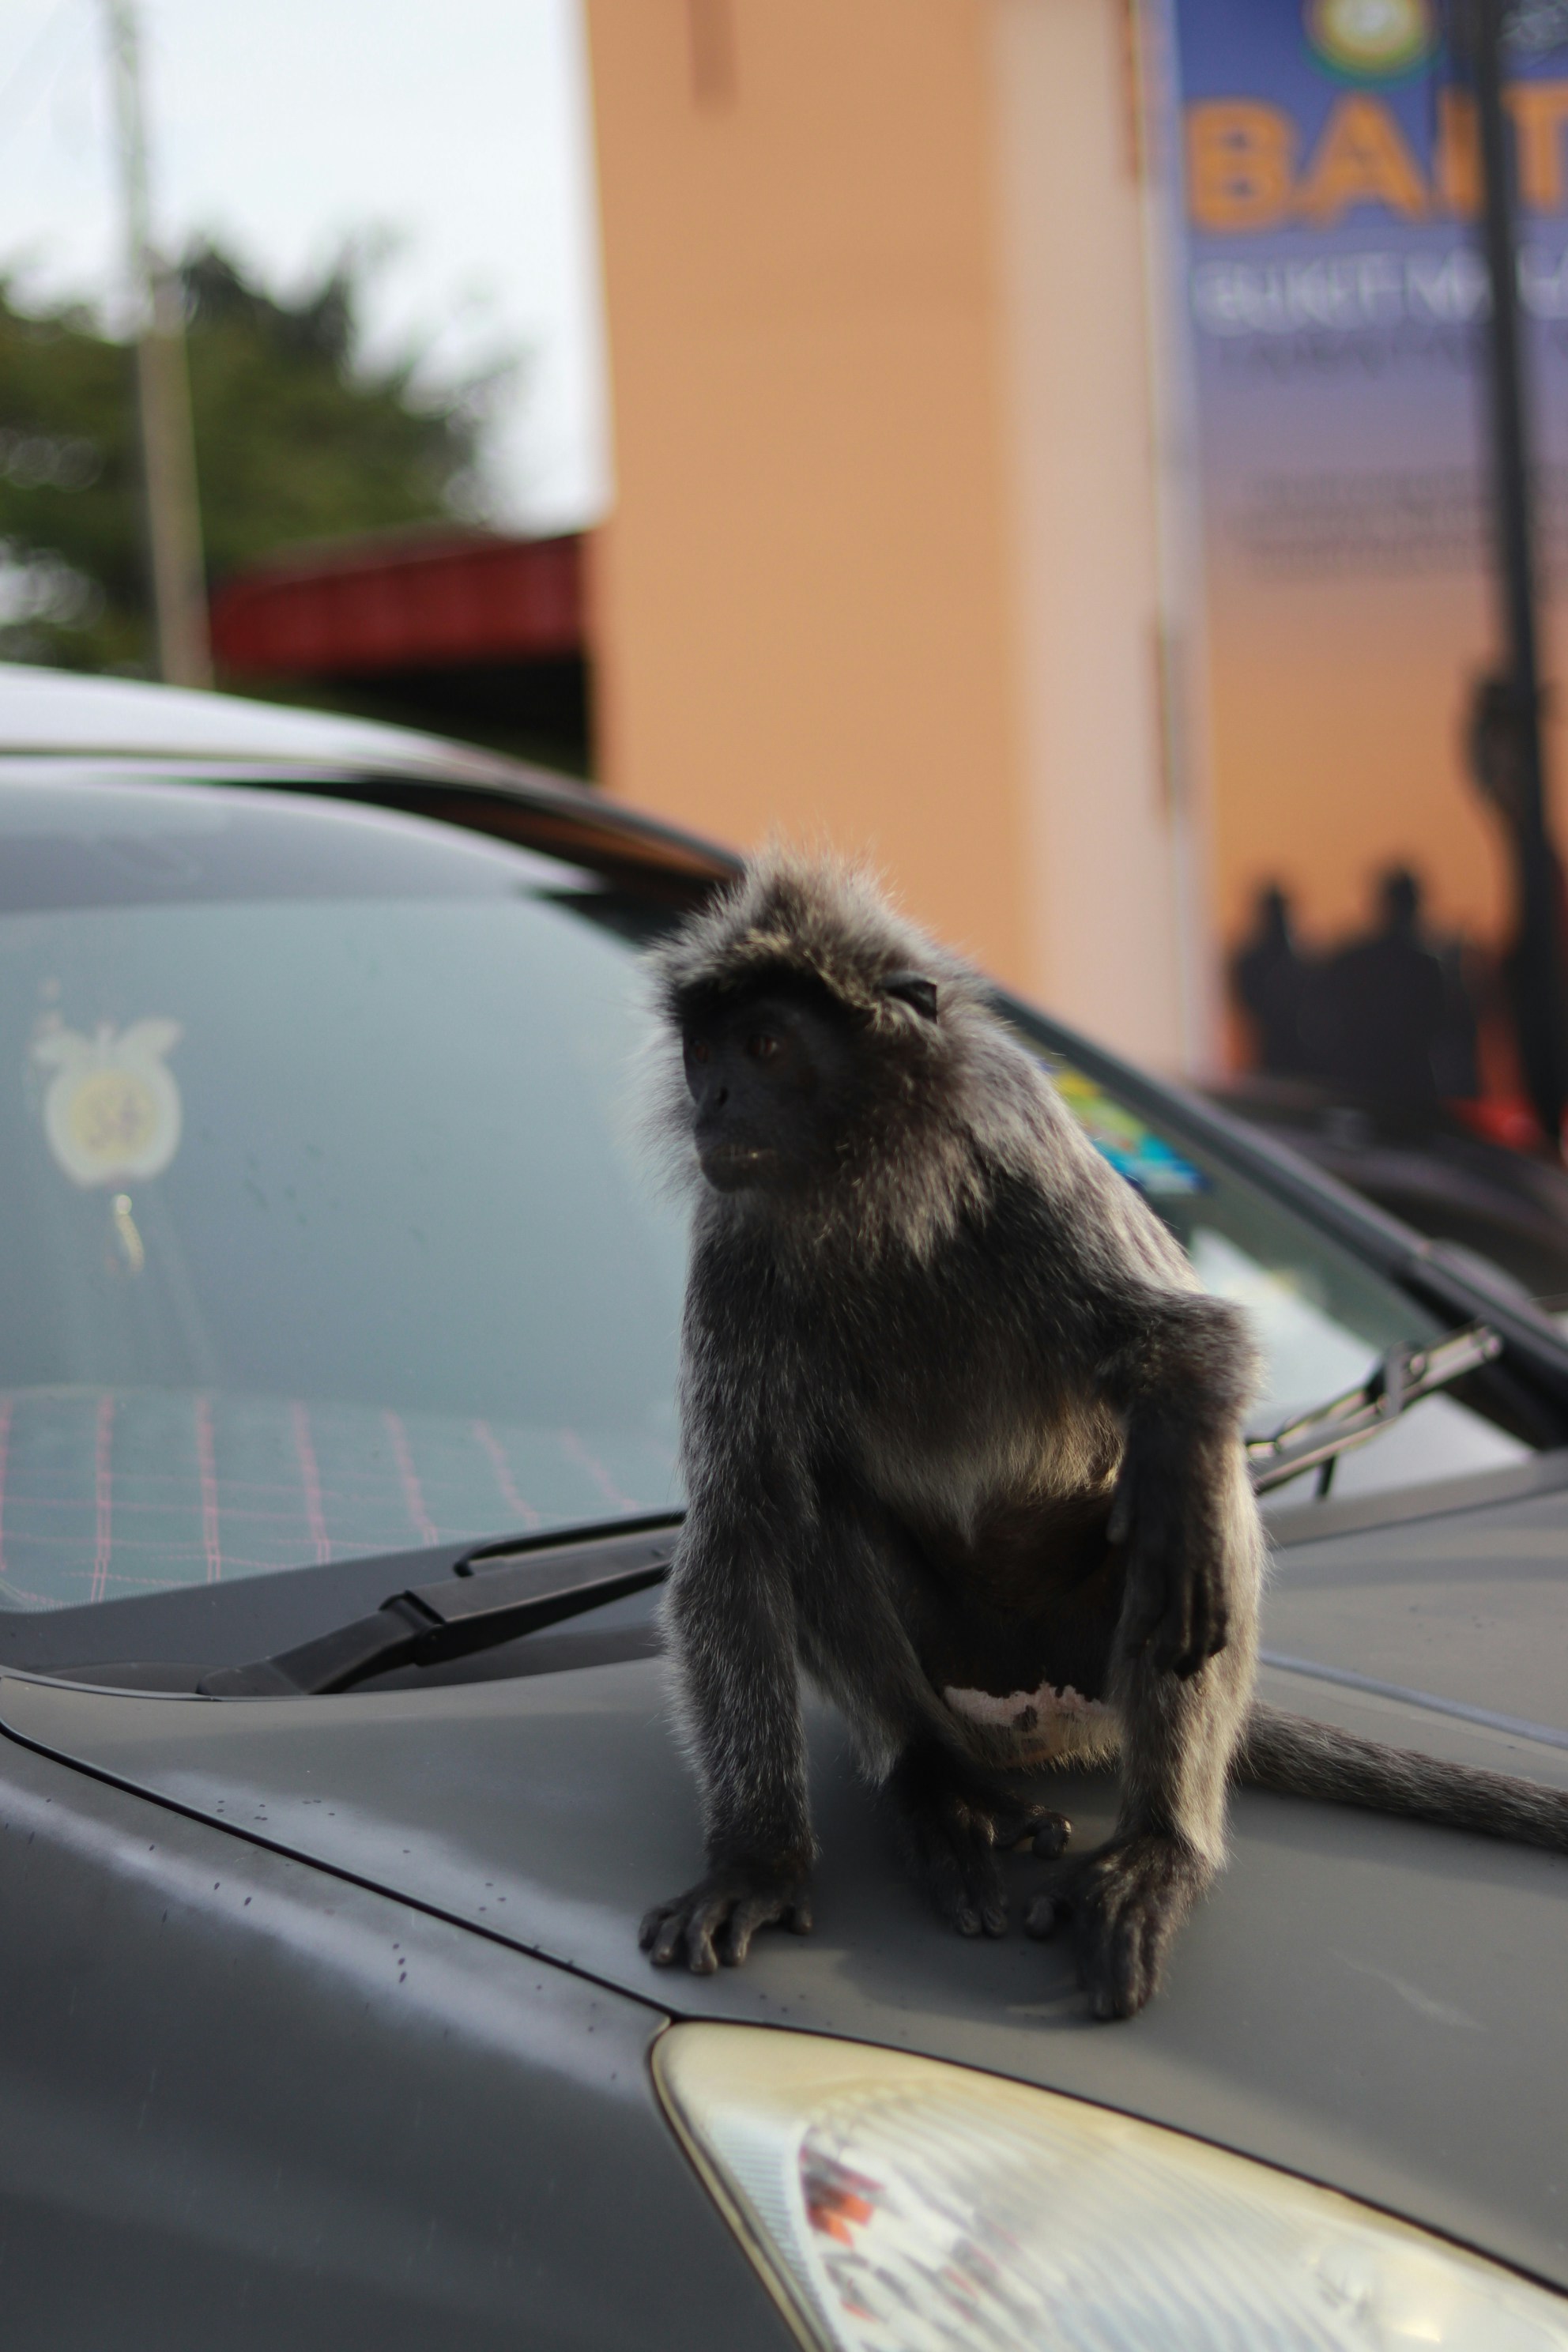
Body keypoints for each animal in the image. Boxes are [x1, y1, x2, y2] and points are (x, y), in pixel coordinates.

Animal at [636, 851, 1568, 2020]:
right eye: (704, 1052)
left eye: (764, 1048)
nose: (712, 1101)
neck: (873, 1193)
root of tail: (1042, 1714)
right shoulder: (739, 1241)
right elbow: (744, 1531)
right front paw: (759, 1862)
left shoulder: (1017, 1144)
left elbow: (1192, 1350)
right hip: (955, 1670)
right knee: (817, 1515)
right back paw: (938, 1785)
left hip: (1090, 1656)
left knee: (1191, 1510)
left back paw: (1159, 1846)